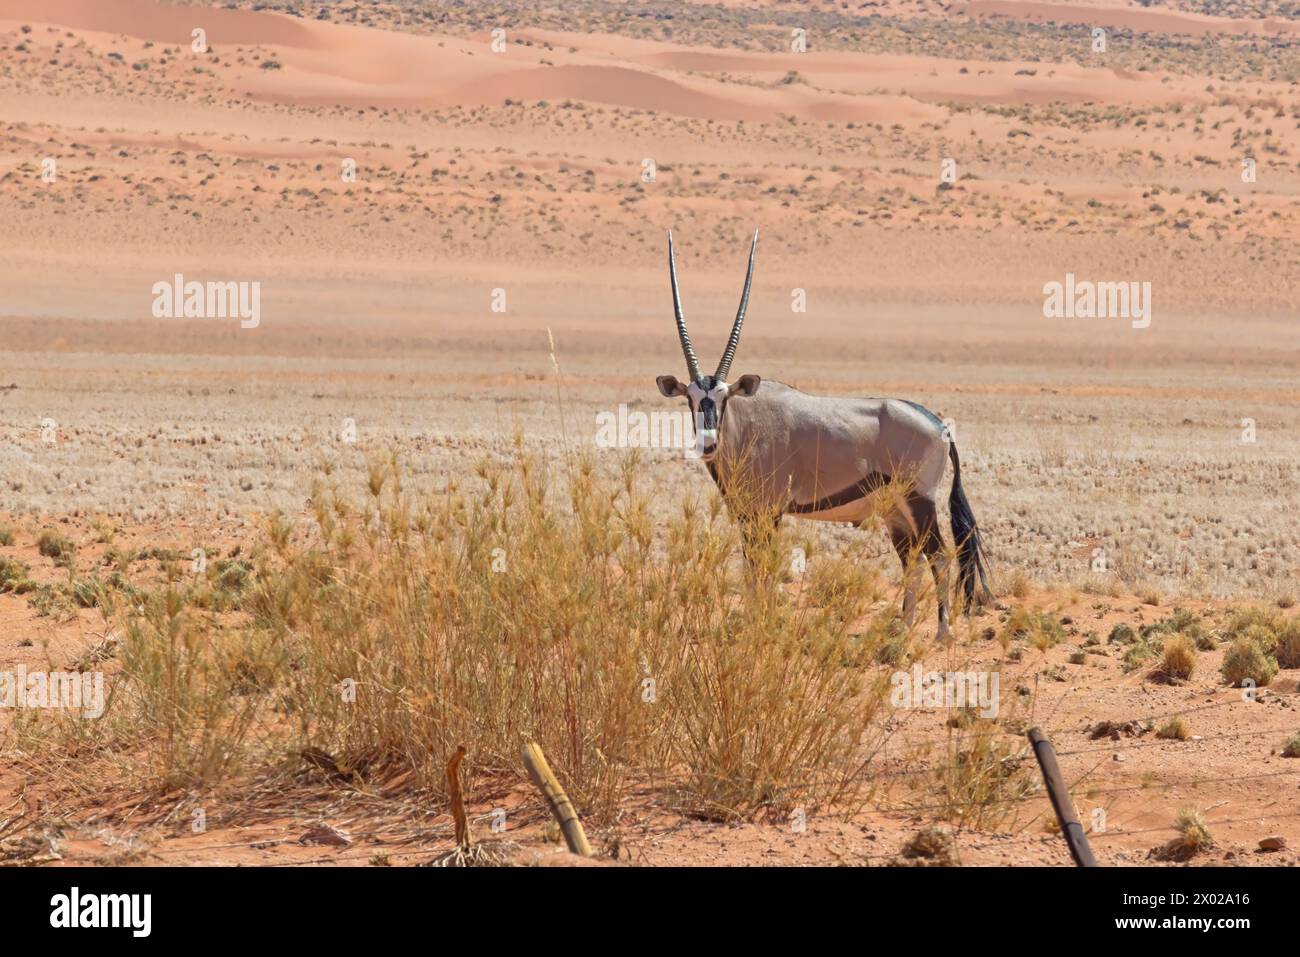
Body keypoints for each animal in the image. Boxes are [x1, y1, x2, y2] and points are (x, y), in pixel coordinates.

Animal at [655, 231, 990, 640]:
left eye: (723, 398)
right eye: (690, 398)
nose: (707, 443)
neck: (745, 426)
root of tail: (940, 426)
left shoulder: (769, 513)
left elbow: (764, 568)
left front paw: (763, 623)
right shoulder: (748, 515)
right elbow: (752, 570)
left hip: (920, 500)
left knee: (938, 556)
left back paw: (942, 631)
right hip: (895, 511)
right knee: (911, 560)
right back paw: (903, 626)